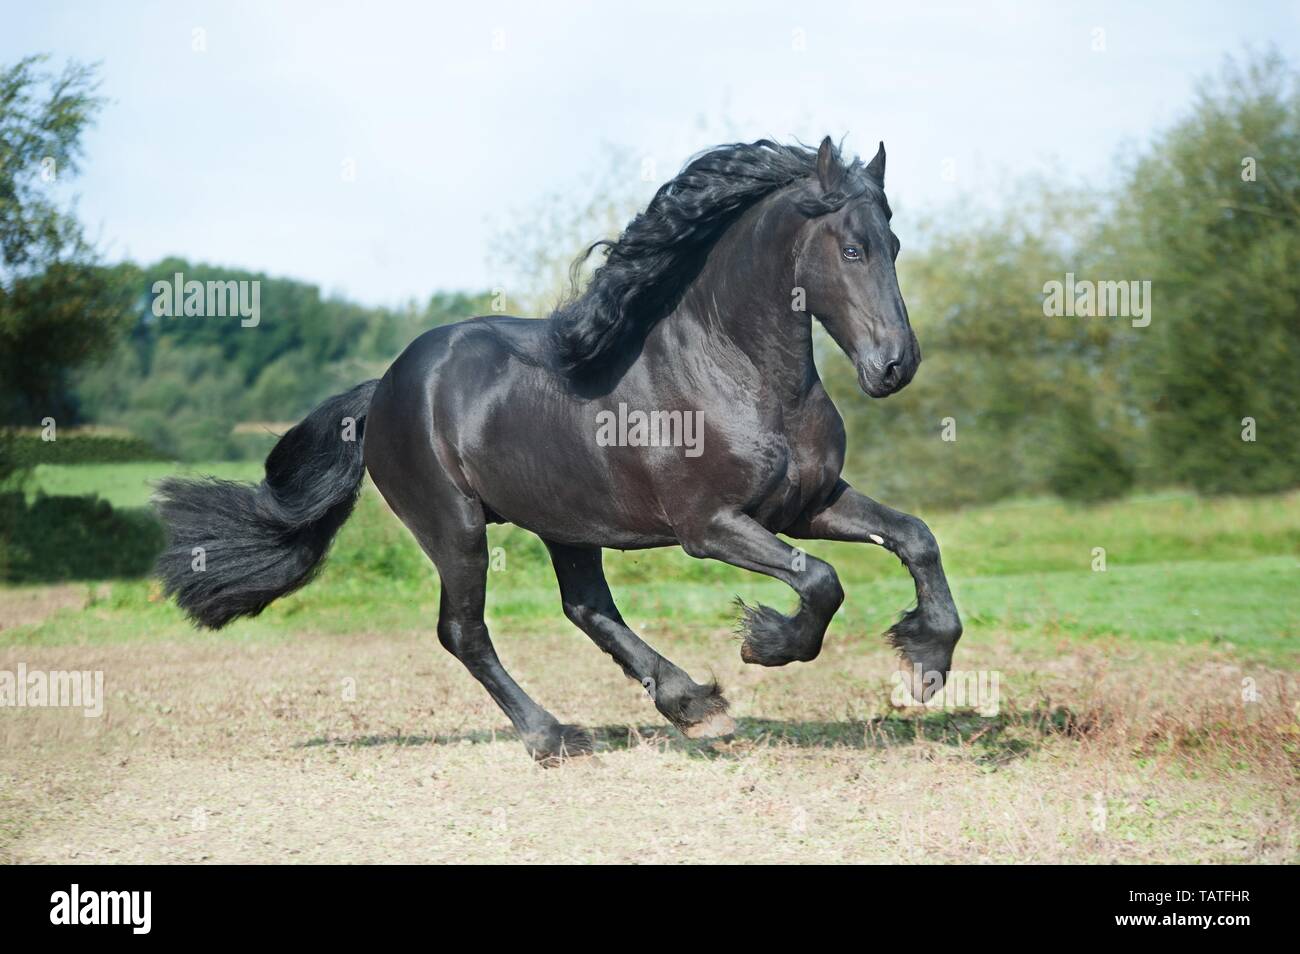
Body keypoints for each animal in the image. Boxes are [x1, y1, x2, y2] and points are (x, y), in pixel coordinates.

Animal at [154, 136, 963, 763]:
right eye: (852, 249)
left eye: (894, 245)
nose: (896, 366)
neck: (735, 371)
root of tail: (383, 389)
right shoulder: (710, 527)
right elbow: (821, 580)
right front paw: (764, 640)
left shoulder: (806, 504)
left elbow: (914, 538)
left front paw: (926, 662)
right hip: (457, 527)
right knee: (465, 632)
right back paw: (555, 737)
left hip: (566, 521)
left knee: (587, 607)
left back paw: (693, 705)